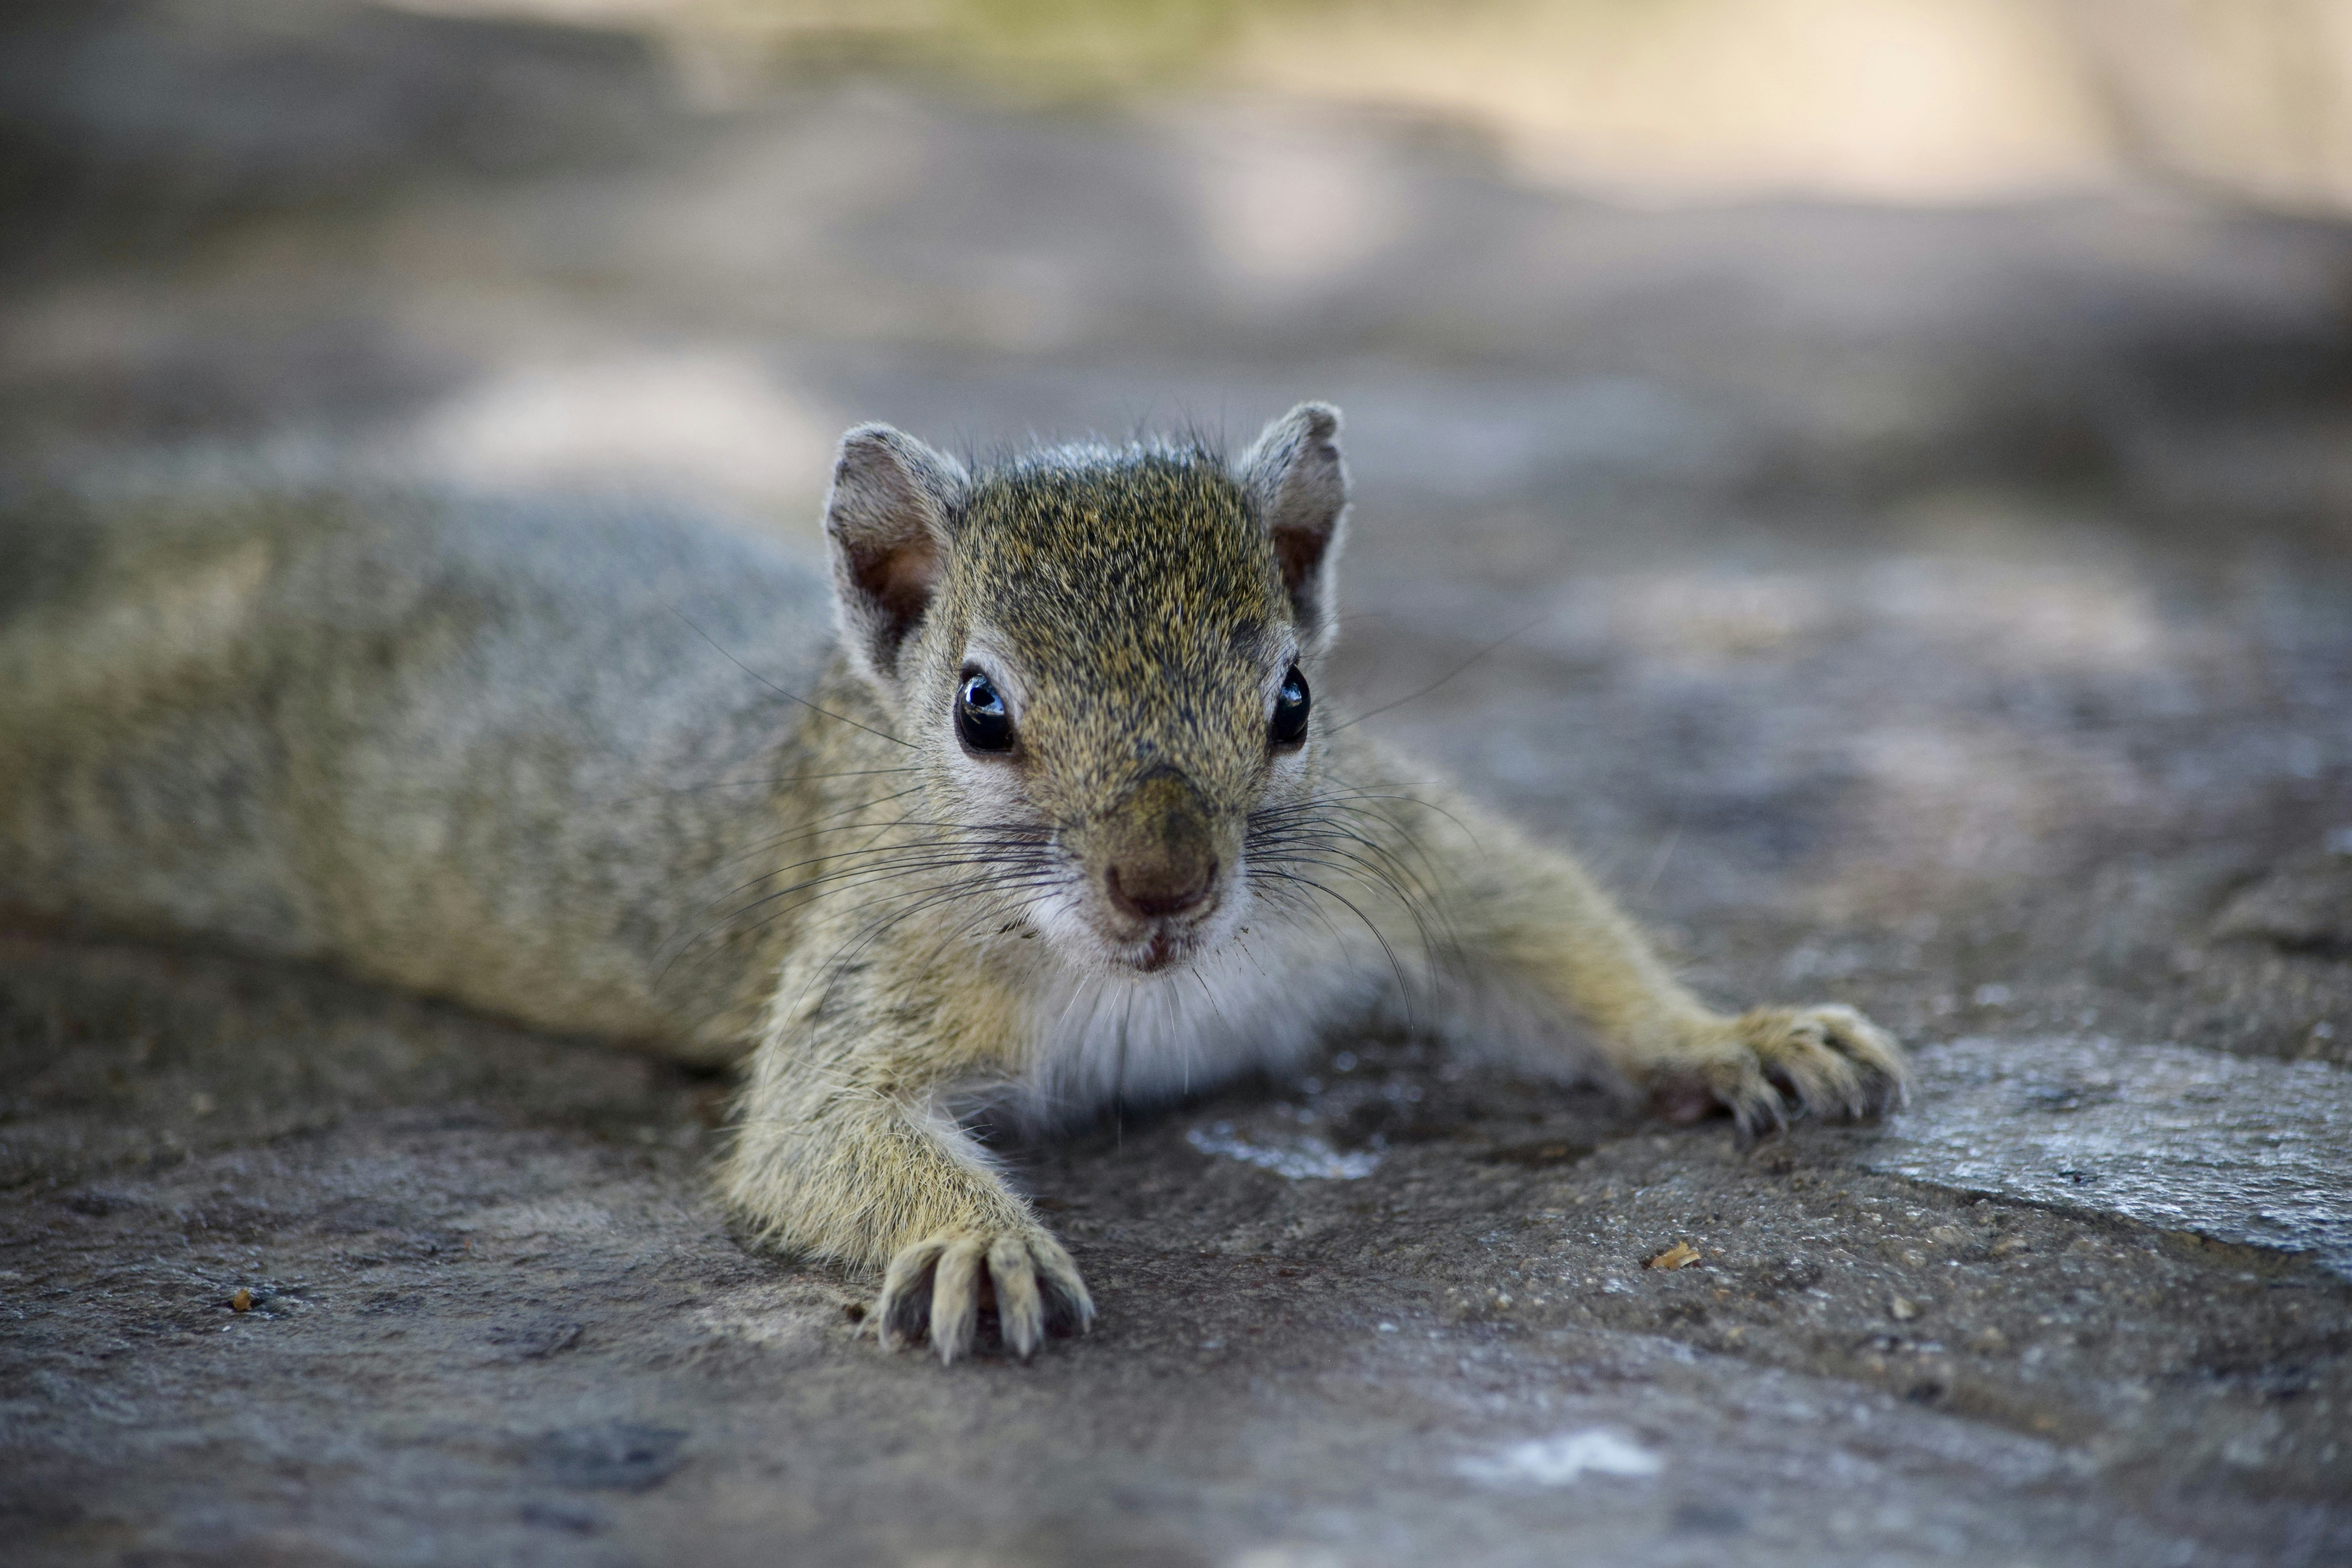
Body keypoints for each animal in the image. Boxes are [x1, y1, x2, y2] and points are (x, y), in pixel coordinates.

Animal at [0, 404, 1906, 1362]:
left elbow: (1544, 927)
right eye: (981, 709)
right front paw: (976, 1242)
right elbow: (816, 1129)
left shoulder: (1392, 859)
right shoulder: (862, 970)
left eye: (1291, 699)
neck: (1146, 984)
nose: (1162, 883)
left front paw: (1735, 1034)